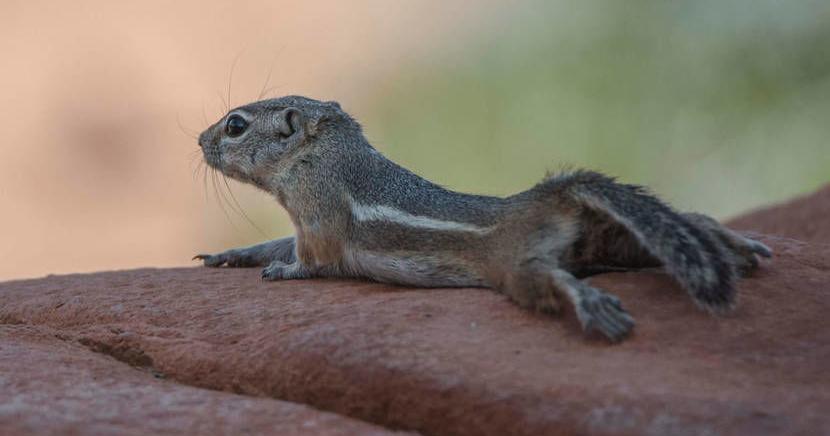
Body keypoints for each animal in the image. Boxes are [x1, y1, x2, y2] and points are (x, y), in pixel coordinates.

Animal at [194, 95, 771, 342]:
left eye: (235, 125)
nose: (199, 141)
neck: (324, 154)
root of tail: (554, 194)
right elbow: (272, 243)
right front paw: (231, 254)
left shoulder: (317, 221)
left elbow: (310, 260)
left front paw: (282, 271)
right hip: (612, 236)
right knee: (678, 226)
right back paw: (738, 244)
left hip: (518, 265)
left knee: (552, 279)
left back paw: (594, 305)